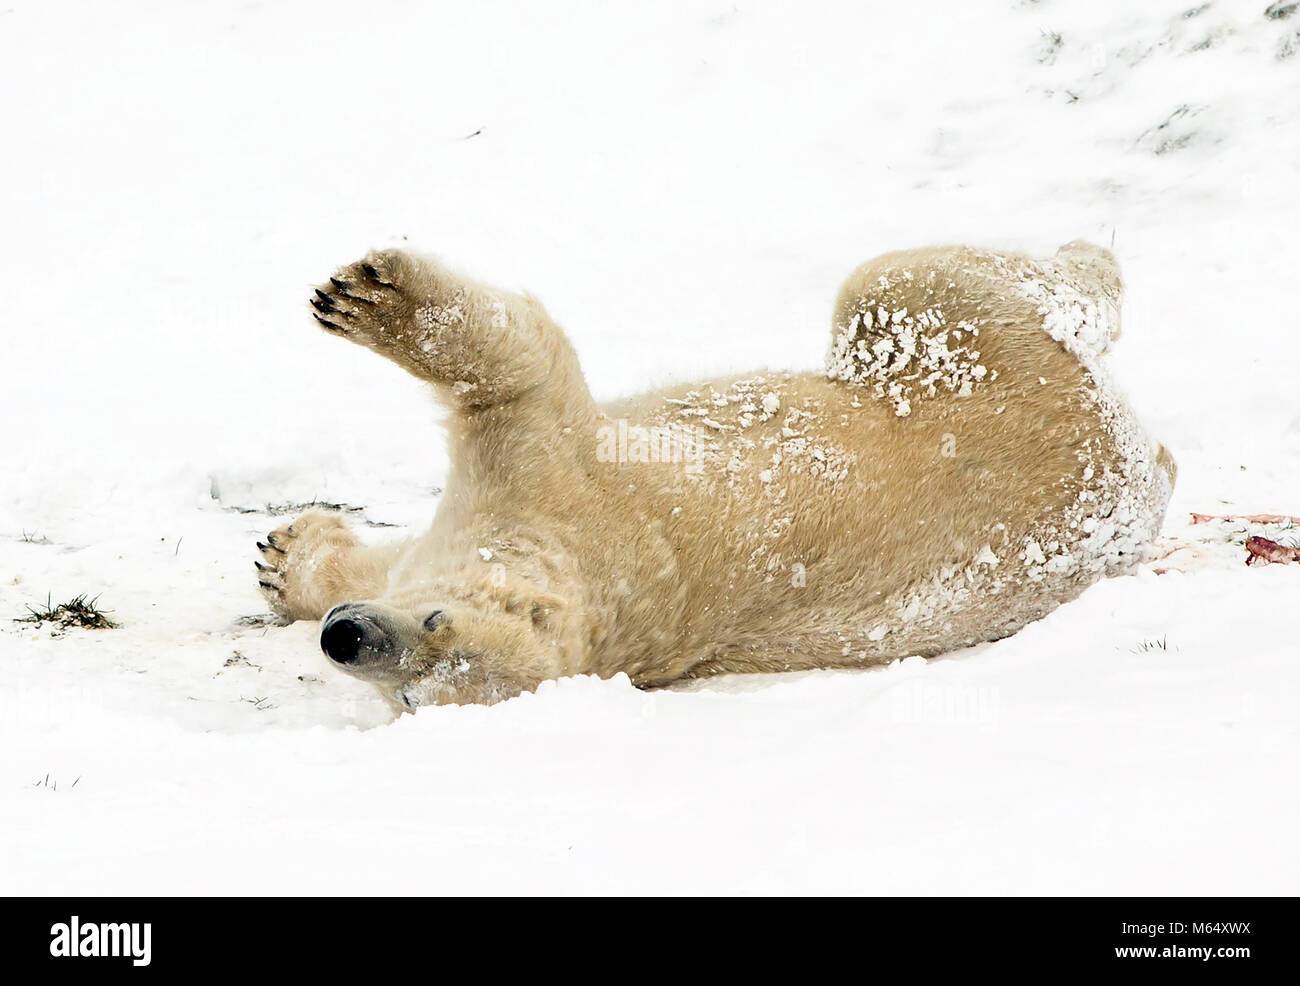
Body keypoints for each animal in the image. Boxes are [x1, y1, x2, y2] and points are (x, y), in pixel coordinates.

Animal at [255, 241, 1175, 711]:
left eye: (440, 632)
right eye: (406, 698)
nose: (349, 638)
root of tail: (1139, 473)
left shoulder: (550, 481)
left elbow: (520, 367)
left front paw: (369, 295)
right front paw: (286, 558)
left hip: (982, 380)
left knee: (904, 285)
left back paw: (1093, 257)